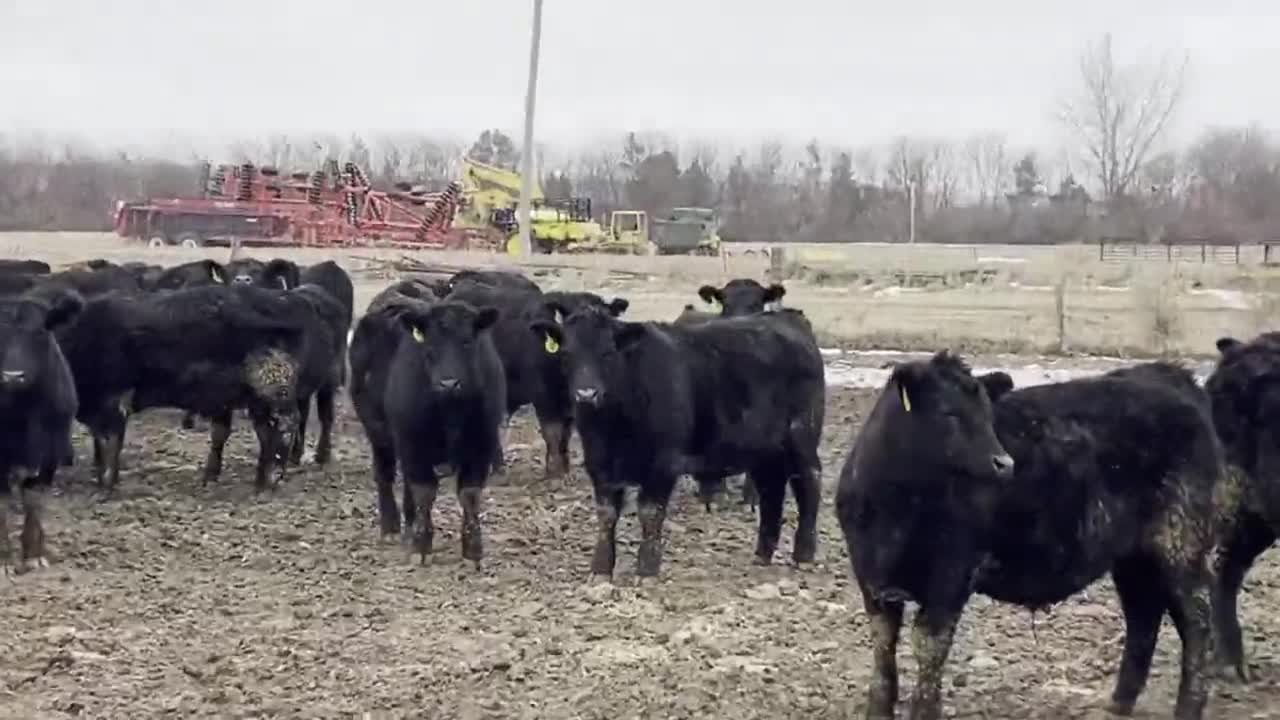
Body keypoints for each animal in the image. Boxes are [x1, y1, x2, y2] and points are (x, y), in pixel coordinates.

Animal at [349, 294, 506, 565]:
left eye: (467, 341)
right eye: (430, 345)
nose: (448, 383)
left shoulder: (482, 442)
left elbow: (470, 493)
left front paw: (472, 547)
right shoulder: (413, 442)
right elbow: (424, 491)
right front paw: (422, 544)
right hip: (378, 432)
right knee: (385, 475)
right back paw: (391, 527)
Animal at [531, 305, 825, 579]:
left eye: (608, 353)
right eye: (566, 355)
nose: (586, 394)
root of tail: (787, 318)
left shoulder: (664, 463)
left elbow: (650, 511)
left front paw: (647, 568)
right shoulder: (599, 463)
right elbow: (606, 513)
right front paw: (601, 567)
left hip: (802, 436)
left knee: (809, 481)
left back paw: (803, 554)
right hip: (765, 450)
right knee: (771, 489)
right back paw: (763, 554)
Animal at [836, 351, 1216, 720]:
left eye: (987, 414)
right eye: (948, 413)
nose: (1004, 463)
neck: (896, 510)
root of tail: (1166, 375)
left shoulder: (953, 573)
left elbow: (929, 643)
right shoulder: (871, 578)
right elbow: (883, 643)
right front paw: (878, 710)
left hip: (1182, 541)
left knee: (1197, 620)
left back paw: (1189, 707)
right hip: (1133, 555)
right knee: (1143, 614)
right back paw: (1119, 703)